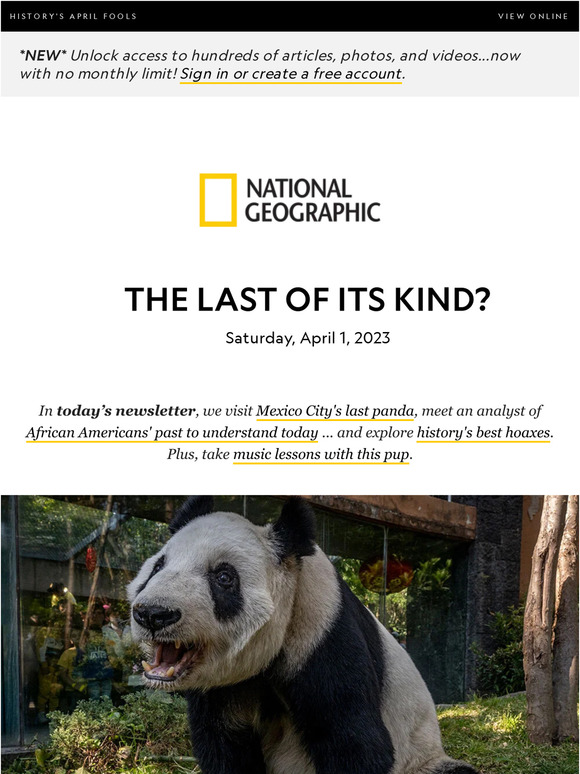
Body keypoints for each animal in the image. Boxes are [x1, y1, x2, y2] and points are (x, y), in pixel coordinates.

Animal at [128, 496, 477, 774]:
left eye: (224, 577)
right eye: (157, 567)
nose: (154, 613)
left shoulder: (322, 631)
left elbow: (352, 740)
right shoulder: (222, 686)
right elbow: (225, 745)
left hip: (422, 758)